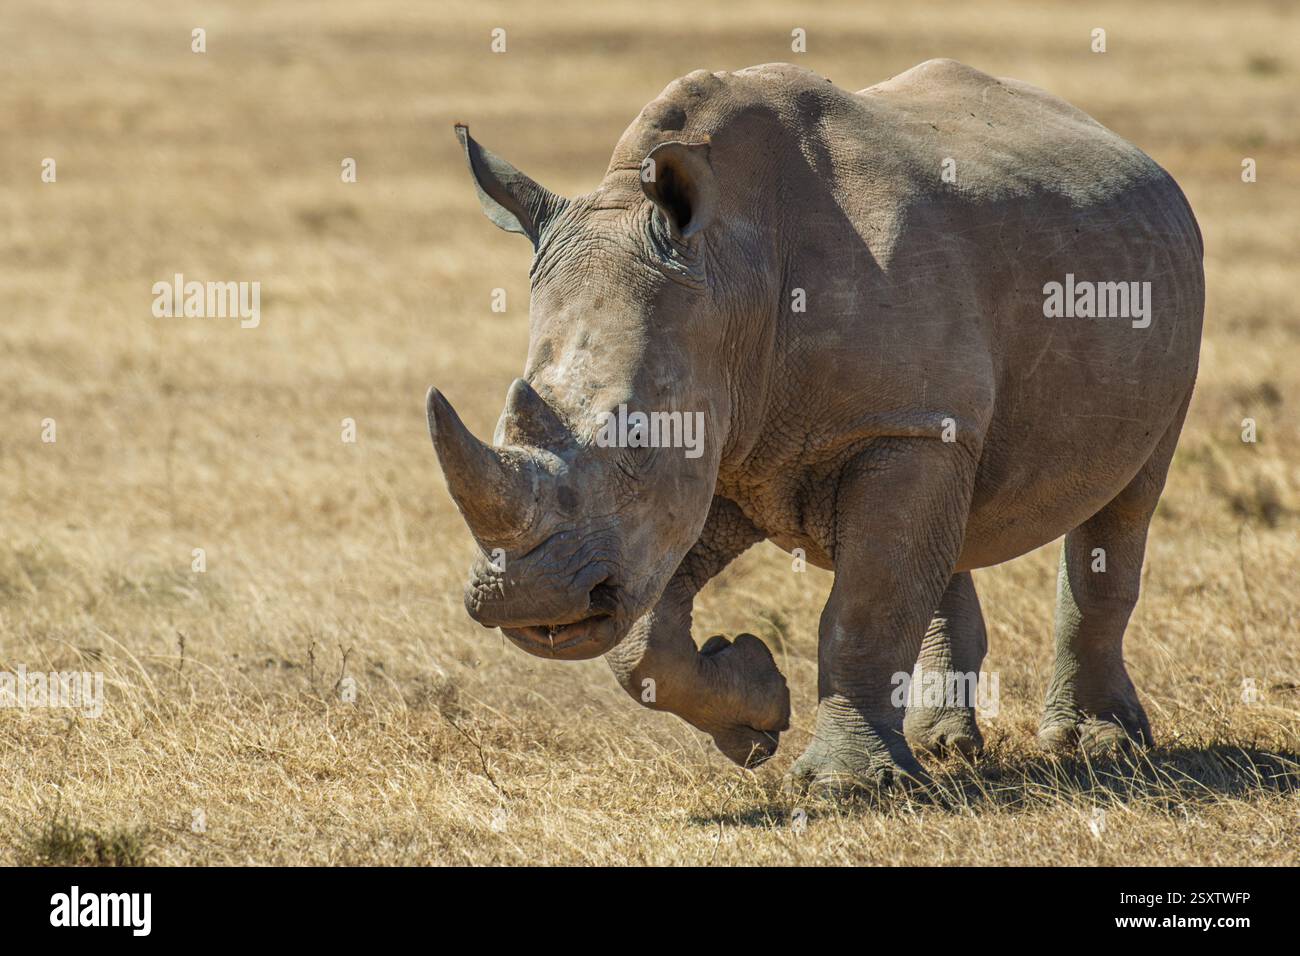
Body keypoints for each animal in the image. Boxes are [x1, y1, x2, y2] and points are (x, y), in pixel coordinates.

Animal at [427, 59, 1204, 792]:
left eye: (640, 439)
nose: (526, 602)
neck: (732, 266)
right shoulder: (735, 446)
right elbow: (642, 634)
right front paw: (754, 709)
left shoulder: (889, 424)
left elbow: (864, 609)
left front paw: (846, 786)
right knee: (950, 514)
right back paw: (942, 747)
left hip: (1161, 294)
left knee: (1126, 501)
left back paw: (1099, 747)